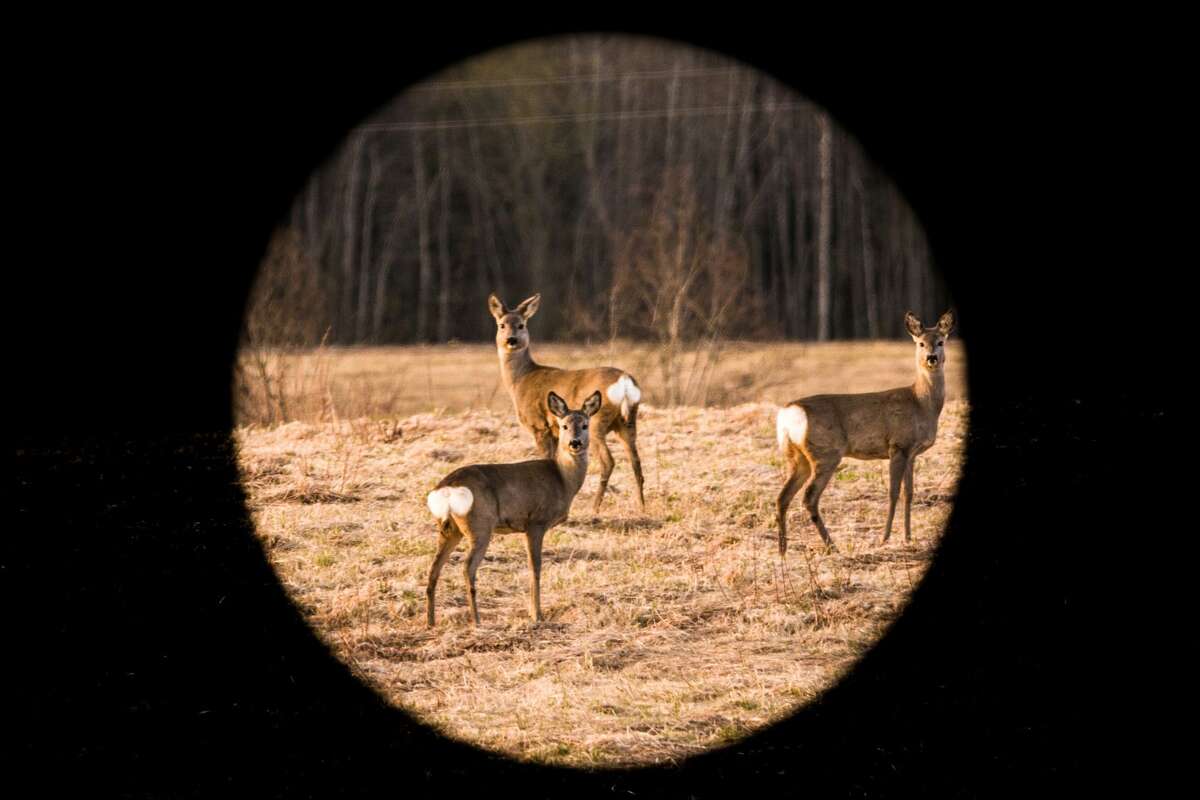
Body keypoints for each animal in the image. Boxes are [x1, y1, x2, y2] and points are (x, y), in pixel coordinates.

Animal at [424, 390, 603, 626]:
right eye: (564, 426)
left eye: (585, 425)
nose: (575, 443)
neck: (563, 479)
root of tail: (446, 488)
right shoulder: (536, 522)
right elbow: (535, 566)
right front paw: (537, 615)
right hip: (479, 525)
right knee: (467, 567)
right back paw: (477, 620)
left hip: (449, 529)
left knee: (434, 568)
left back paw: (430, 622)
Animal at [487, 292, 646, 514]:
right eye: (502, 325)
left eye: (521, 325)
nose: (511, 340)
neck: (520, 380)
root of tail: (624, 382)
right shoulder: (556, 431)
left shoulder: (539, 425)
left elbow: (546, 459)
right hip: (627, 421)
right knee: (636, 462)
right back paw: (642, 506)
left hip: (597, 421)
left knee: (608, 461)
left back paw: (595, 507)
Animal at [775, 310, 956, 555]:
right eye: (921, 343)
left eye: (940, 342)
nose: (931, 358)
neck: (920, 403)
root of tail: (788, 413)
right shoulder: (898, 445)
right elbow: (893, 492)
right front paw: (885, 538)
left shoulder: (912, 452)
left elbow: (909, 493)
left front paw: (908, 537)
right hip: (826, 452)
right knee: (809, 497)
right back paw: (832, 546)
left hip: (796, 456)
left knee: (782, 497)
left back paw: (783, 550)